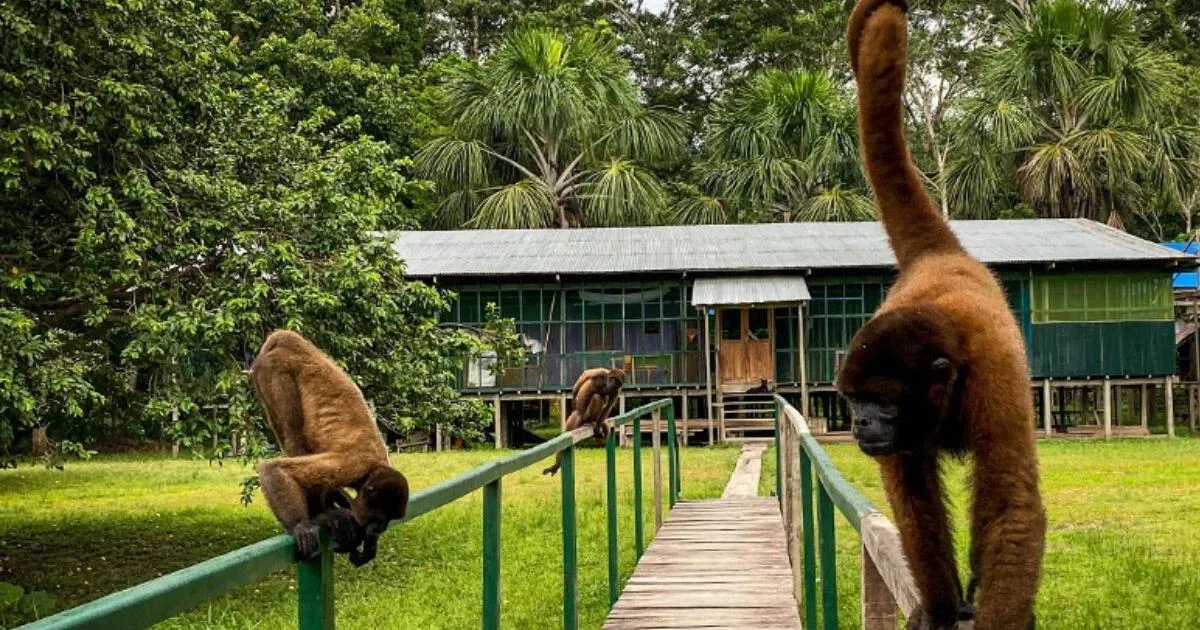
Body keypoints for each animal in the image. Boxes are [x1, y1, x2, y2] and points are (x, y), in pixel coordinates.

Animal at [250, 330, 410, 566]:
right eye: (381, 517)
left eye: (391, 519)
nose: (381, 528)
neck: (374, 467)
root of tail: (287, 340)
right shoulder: (353, 464)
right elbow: (275, 469)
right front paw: (301, 524)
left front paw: (369, 543)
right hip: (275, 370)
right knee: (293, 433)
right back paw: (320, 514)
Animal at [837, 1, 1046, 628]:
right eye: (851, 402)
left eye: (879, 401)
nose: (859, 425)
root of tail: (940, 255)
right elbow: (914, 500)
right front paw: (938, 606)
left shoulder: (995, 374)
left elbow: (1010, 505)